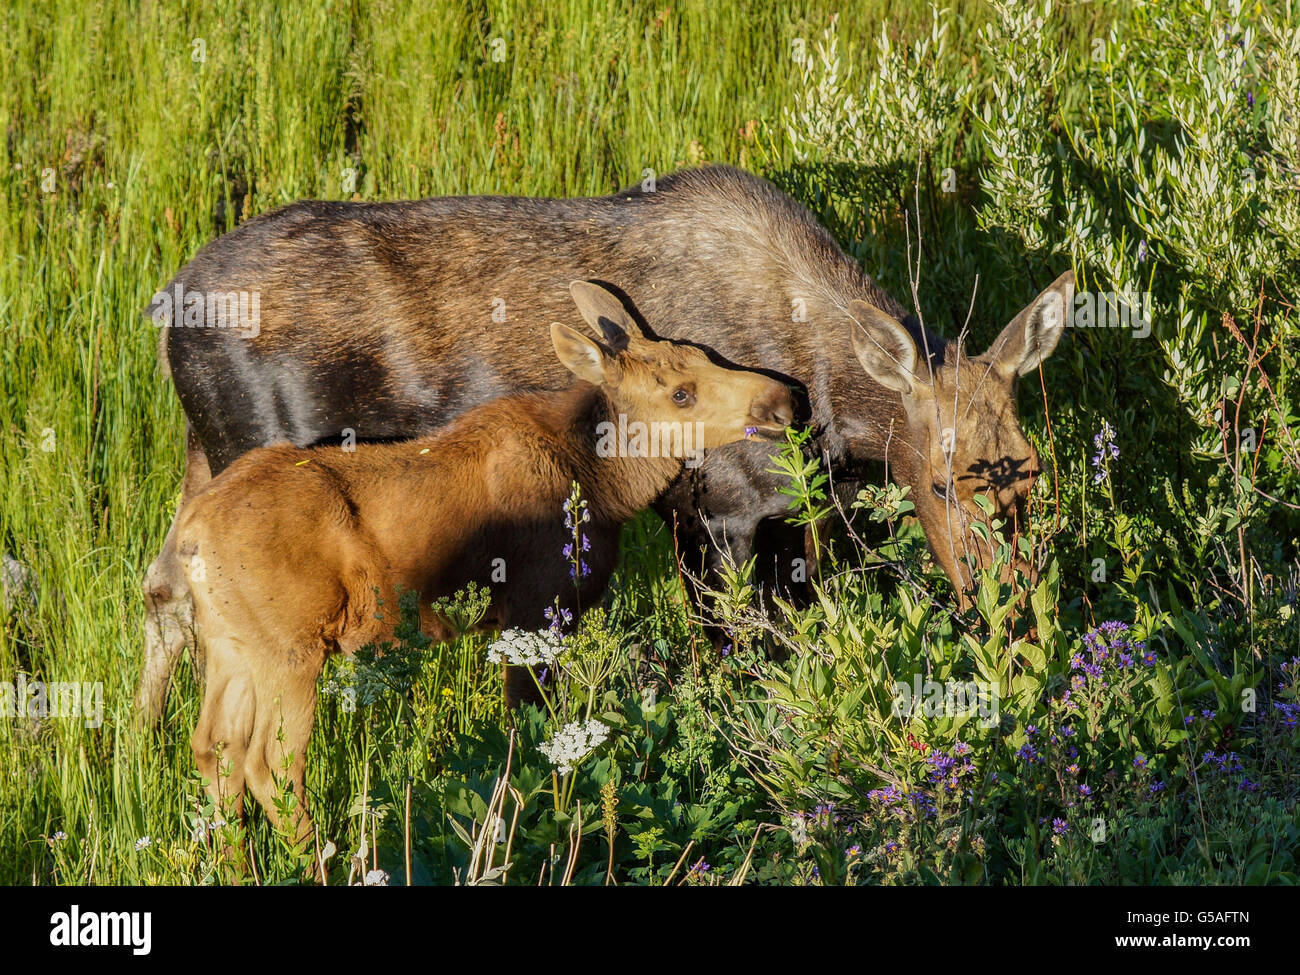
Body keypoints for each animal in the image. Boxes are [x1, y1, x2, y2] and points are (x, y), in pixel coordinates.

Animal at [173, 280, 793, 842]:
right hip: (292, 648)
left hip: (229, 642)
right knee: (271, 765)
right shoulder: (535, 610)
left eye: (705, 355)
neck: (605, 481)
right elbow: (530, 731)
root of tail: (190, 533)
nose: (784, 401)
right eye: (682, 394)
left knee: (213, 750)